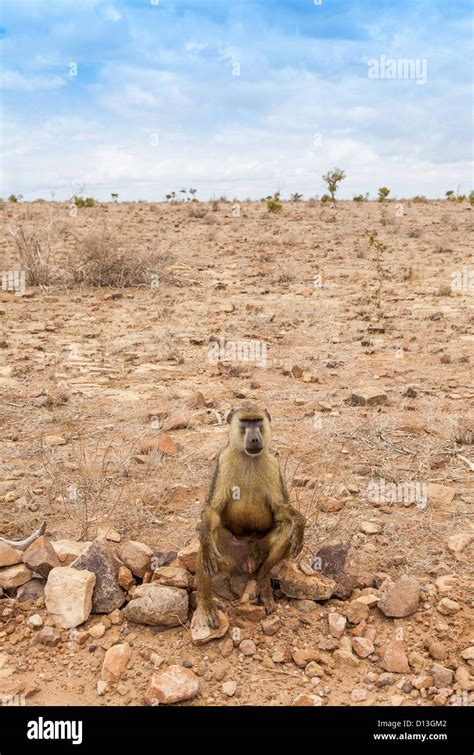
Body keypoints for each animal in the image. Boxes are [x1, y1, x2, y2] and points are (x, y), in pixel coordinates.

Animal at [196, 404, 306, 628]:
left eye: (257, 421)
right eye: (246, 422)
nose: (255, 439)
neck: (248, 457)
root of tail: (247, 562)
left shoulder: (273, 464)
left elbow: (281, 511)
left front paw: (300, 522)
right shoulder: (222, 462)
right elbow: (213, 512)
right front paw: (205, 540)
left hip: (258, 552)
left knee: (285, 527)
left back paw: (263, 580)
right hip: (230, 557)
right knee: (213, 536)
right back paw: (206, 602)